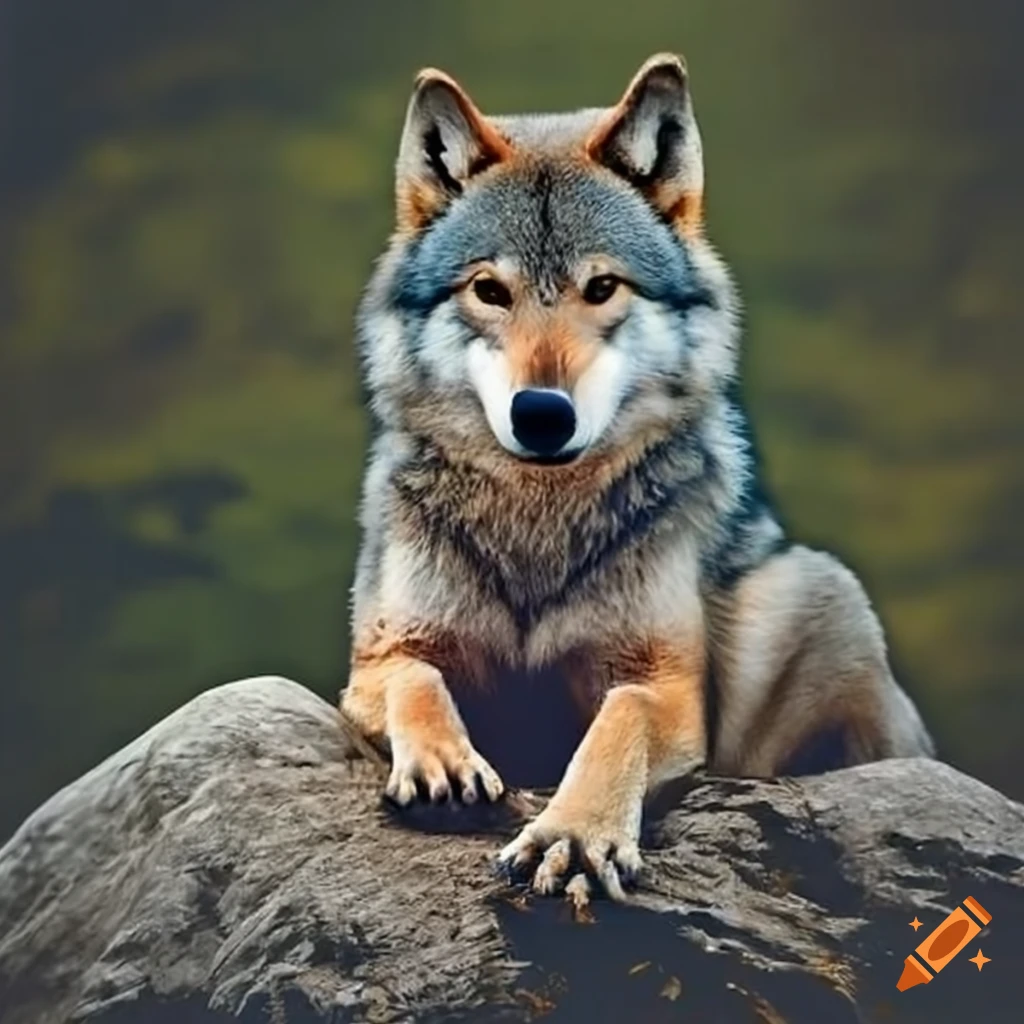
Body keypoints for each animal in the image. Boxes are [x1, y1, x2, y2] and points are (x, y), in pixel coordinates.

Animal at [340, 53, 935, 899]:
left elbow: (616, 725)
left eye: (602, 288)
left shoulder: (666, 686)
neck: (540, 529)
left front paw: (574, 834)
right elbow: (415, 681)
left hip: (817, 590)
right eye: (489, 291)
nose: (542, 414)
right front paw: (445, 764)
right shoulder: (379, 661)